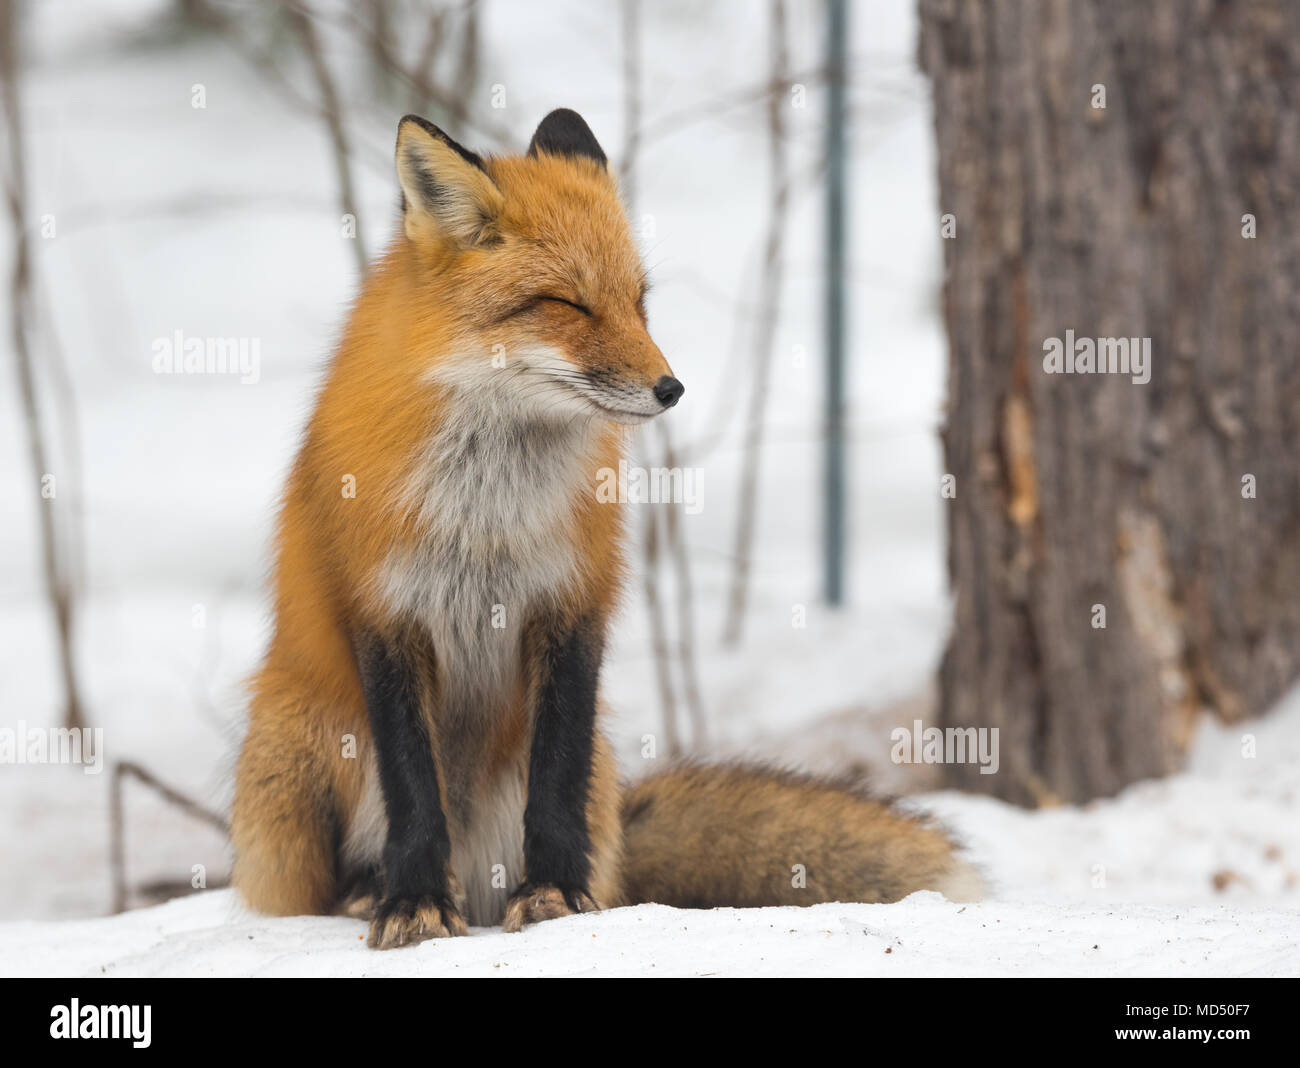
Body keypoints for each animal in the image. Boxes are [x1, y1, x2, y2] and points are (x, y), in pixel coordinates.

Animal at [231, 108, 980, 949]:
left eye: (638, 302)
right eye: (569, 304)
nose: (671, 388)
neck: (488, 512)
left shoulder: (571, 601)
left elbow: (556, 778)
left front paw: (557, 893)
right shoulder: (384, 613)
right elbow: (412, 786)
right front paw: (414, 902)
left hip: (579, 773)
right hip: (297, 757)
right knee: (315, 881)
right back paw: (368, 892)